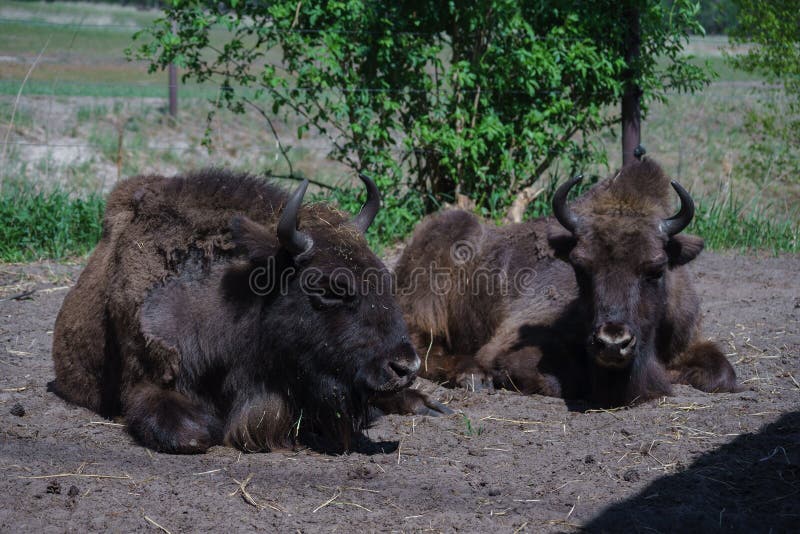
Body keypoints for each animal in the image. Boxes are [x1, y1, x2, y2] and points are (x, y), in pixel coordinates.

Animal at [395, 159, 738, 407]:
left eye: (656, 269)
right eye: (581, 267)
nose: (612, 342)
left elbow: (723, 374)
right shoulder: (509, 344)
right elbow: (564, 379)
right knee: (423, 350)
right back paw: (472, 376)